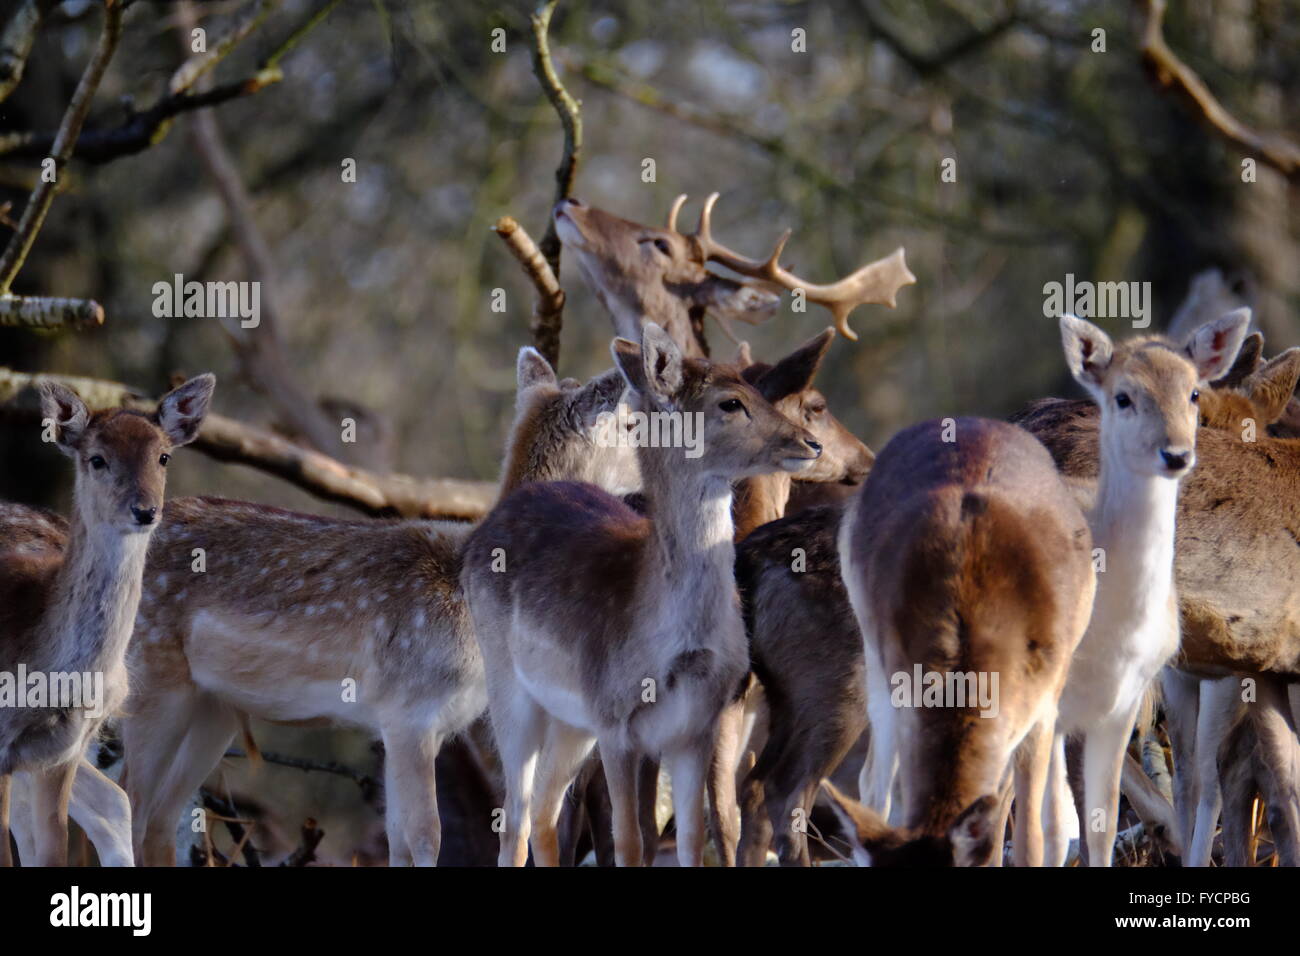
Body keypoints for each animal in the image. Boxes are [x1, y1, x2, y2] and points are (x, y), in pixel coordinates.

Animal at [115, 350, 641, 867]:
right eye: (630, 423)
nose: (645, 481)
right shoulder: (409, 709)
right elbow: (427, 836)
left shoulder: (403, 724)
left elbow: (398, 841)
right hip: (151, 676)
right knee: (127, 800)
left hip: (213, 706)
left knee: (160, 819)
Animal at [462, 324, 823, 867]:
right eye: (731, 401)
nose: (809, 442)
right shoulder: (615, 721)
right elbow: (629, 840)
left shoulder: (696, 728)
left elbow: (695, 838)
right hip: (511, 689)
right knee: (516, 819)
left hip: (573, 723)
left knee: (544, 810)